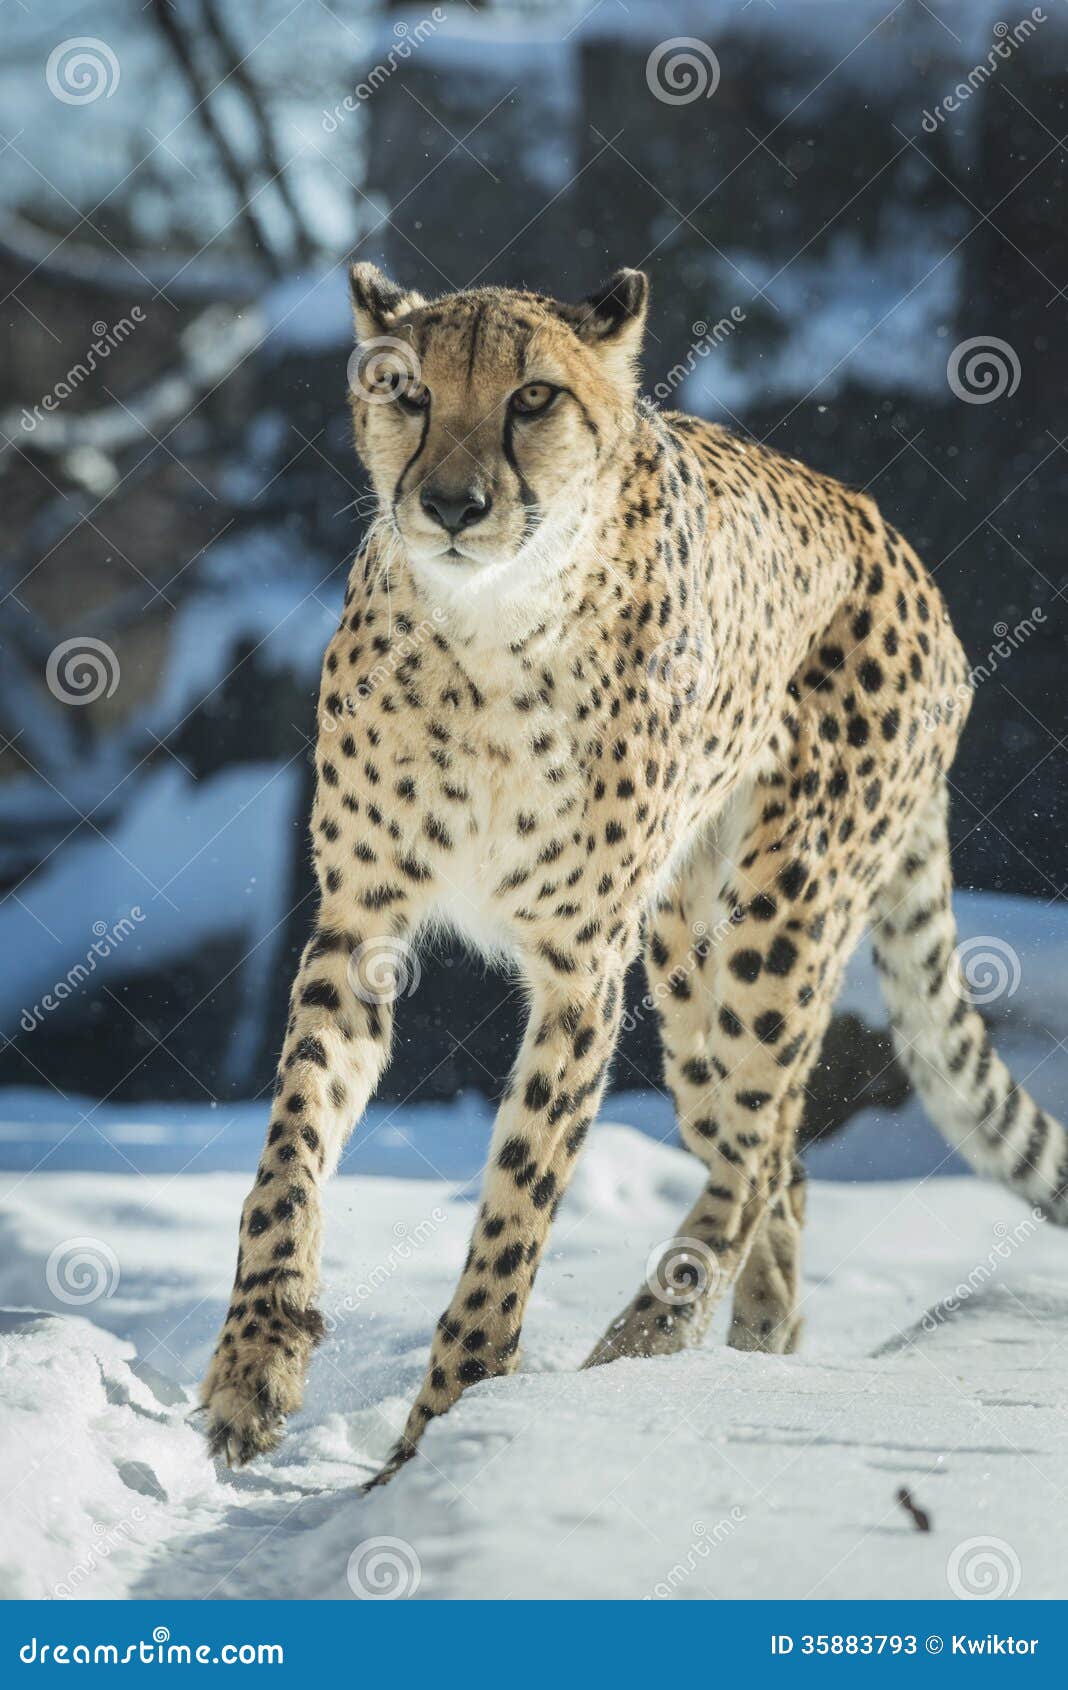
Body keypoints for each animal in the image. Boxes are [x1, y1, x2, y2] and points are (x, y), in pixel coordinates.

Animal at [201, 262, 1068, 1487]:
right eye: (409, 391)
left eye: (532, 398)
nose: (453, 506)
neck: (489, 631)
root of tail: (895, 541)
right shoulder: (362, 922)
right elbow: (290, 1148)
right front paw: (256, 1364)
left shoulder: (580, 972)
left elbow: (516, 1209)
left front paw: (444, 1430)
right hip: (689, 967)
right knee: (774, 1157)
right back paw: (743, 1352)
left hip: (779, 929)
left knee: (755, 1154)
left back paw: (649, 1337)